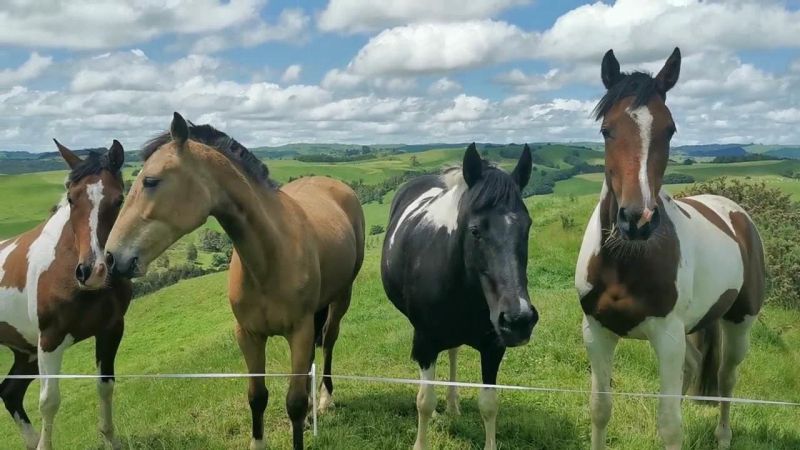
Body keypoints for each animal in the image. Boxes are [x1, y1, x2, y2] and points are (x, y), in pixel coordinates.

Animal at [0, 140, 131, 450]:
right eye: (71, 198)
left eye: (118, 199)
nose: (93, 270)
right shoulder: (50, 340)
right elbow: (49, 402)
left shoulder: (111, 329)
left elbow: (105, 385)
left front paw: (110, 439)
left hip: (24, 353)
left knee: (9, 393)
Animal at [104, 113, 365, 450]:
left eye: (150, 181)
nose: (111, 257)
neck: (270, 257)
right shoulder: (248, 335)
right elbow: (257, 397)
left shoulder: (299, 331)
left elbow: (292, 403)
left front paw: (303, 413)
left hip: (340, 300)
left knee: (329, 342)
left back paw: (323, 400)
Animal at [381, 143, 539, 450]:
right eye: (475, 230)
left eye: (527, 227)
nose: (519, 320)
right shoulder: (425, 342)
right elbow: (424, 402)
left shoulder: (494, 347)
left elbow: (488, 404)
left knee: (453, 351)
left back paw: (453, 405)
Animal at [575, 47, 765, 450]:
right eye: (606, 130)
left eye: (670, 129)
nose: (638, 219)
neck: (624, 261)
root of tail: (735, 214)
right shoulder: (597, 332)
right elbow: (600, 408)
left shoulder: (667, 335)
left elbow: (670, 425)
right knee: (695, 367)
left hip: (738, 324)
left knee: (726, 379)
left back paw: (723, 436)